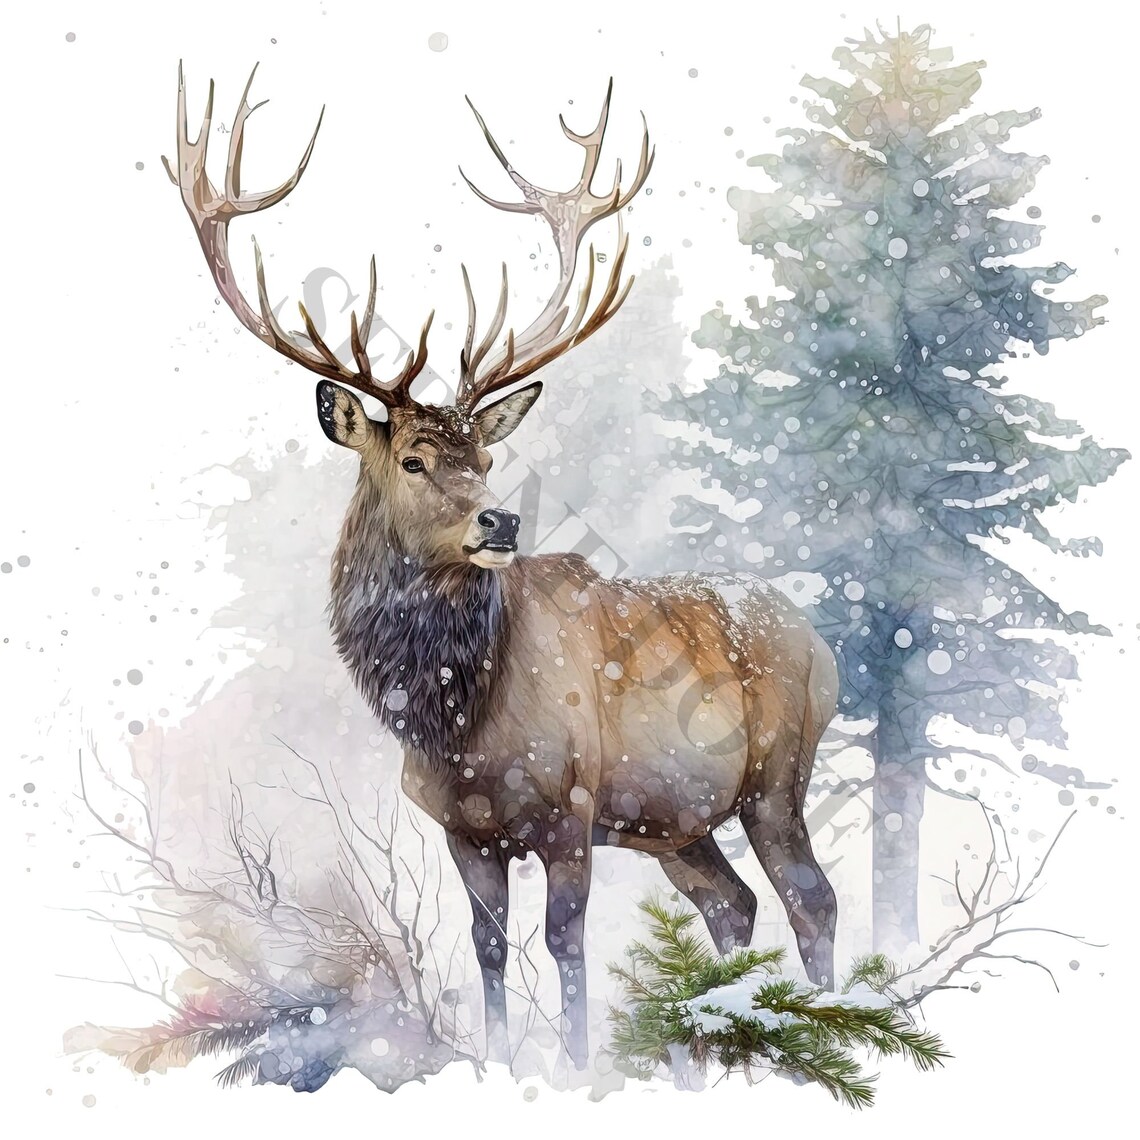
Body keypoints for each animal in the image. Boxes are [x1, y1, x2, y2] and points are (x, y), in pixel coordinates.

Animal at [165, 66, 840, 1071]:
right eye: (412, 459)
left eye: (484, 456)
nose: (502, 517)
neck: (455, 716)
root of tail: (823, 641)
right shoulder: (464, 830)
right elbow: (487, 945)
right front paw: (493, 1061)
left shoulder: (568, 807)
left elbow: (564, 946)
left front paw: (575, 1069)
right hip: (674, 821)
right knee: (733, 903)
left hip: (777, 775)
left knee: (811, 898)